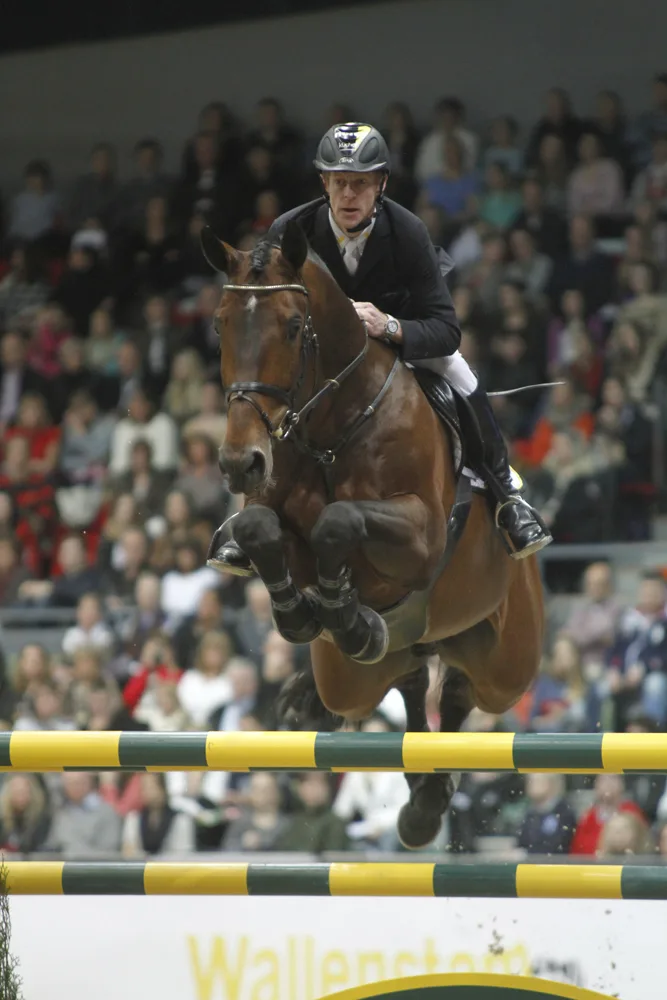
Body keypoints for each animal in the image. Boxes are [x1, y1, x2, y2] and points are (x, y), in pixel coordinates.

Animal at [200, 220, 545, 849]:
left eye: (293, 326)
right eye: (220, 324)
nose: (241, 463)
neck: (331, 428)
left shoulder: (422, 536)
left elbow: (340, 520)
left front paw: (340, 609)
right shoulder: (270, 510)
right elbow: (261, 528)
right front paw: (305, 612)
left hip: (508, 663)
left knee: (462, 691)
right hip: (357, 679)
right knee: (410, 680)